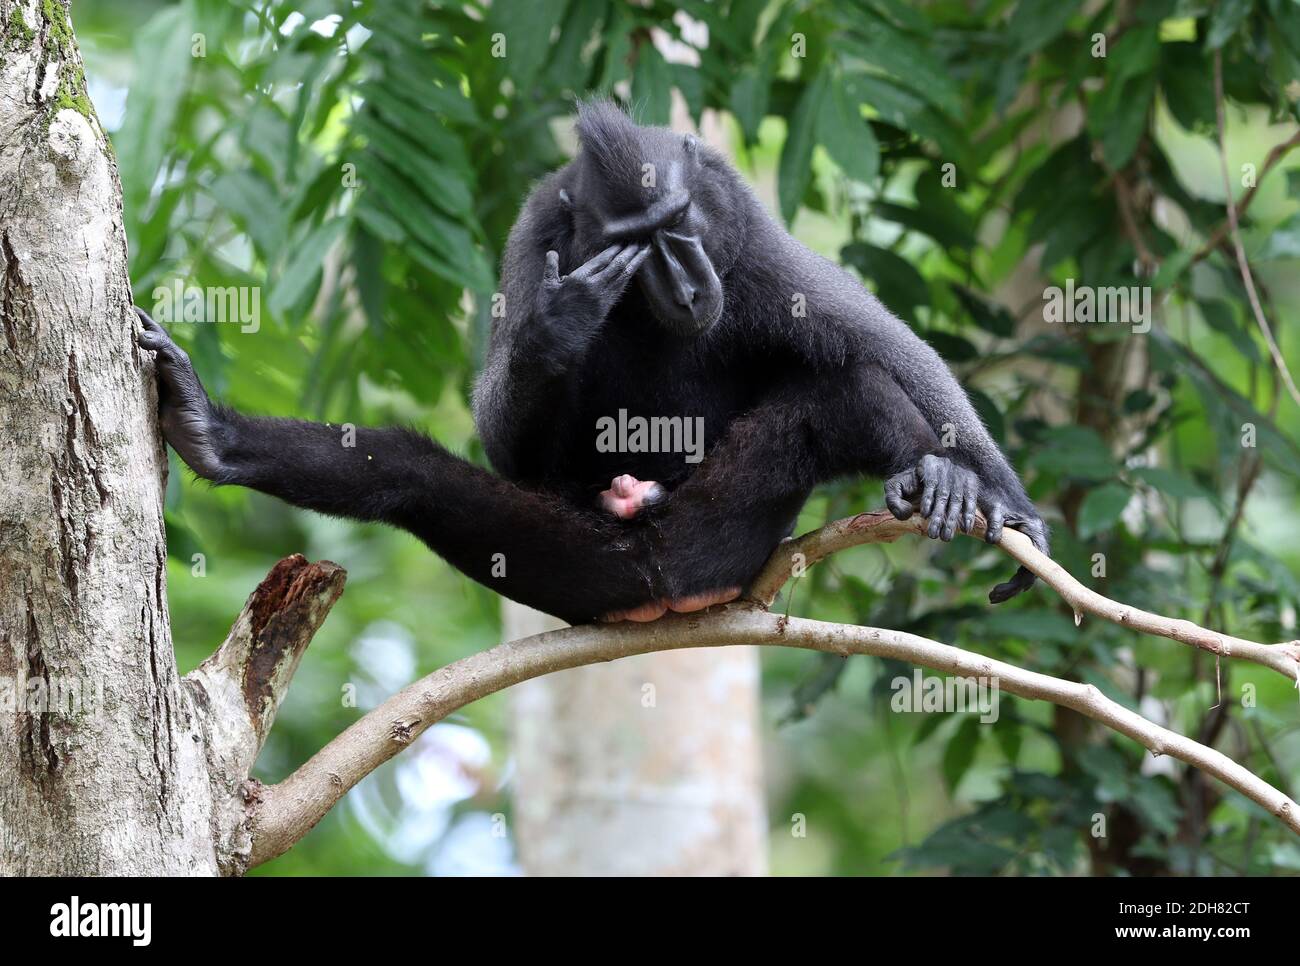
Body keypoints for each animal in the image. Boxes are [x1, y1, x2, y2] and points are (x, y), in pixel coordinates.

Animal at [136, 100, 1049, 627]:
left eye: (679, 226)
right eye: (633, 245)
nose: (689, 286)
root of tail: (663, 581)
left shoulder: (752, 245)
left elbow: (886, 346)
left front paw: (1005, 501)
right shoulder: (533, 233)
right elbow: (507, 439)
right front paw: (557, 326)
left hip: (723, 529)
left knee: (847, 392)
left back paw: (941, 479)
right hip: (587, 565)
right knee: (409, 474)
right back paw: (212, 434)